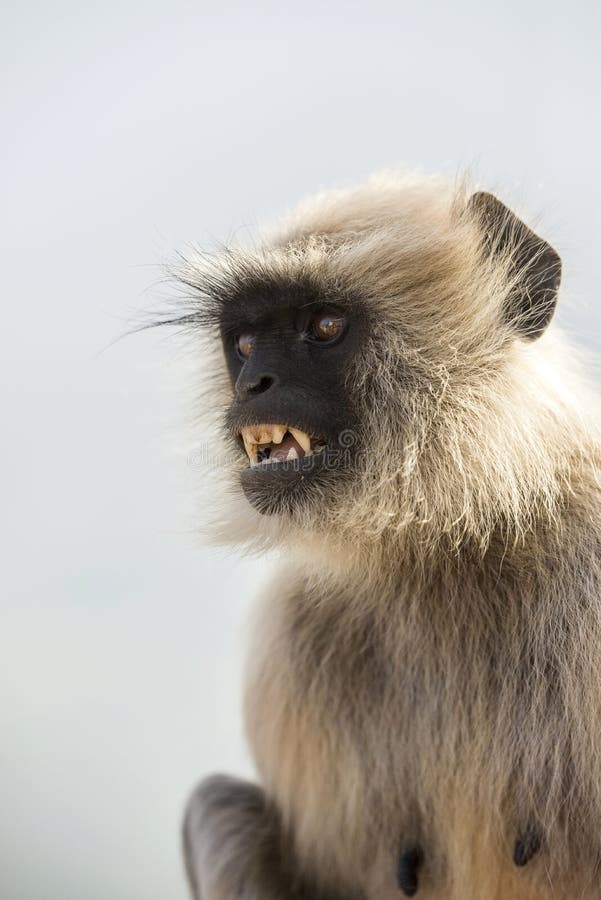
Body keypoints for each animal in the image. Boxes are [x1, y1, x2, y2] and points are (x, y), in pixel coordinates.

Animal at [168, 170, 601, 899]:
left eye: (324, 326)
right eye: (245, 343)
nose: (253, 385)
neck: (451, 540)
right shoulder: (293, 636)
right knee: (217, 804)